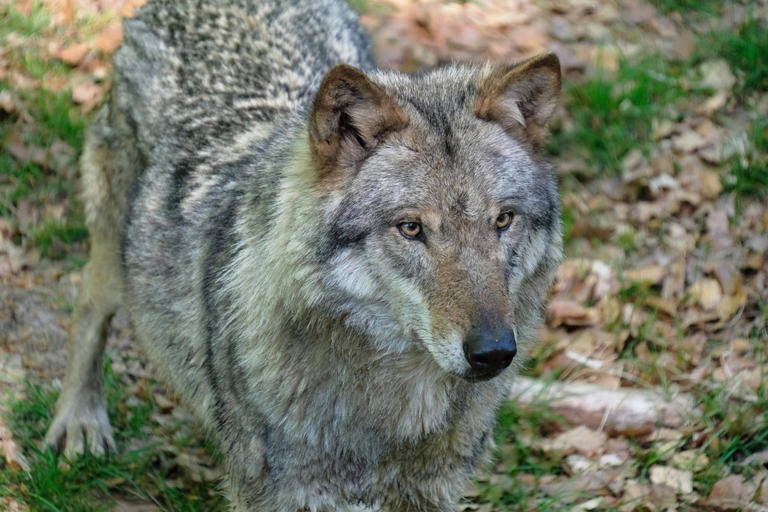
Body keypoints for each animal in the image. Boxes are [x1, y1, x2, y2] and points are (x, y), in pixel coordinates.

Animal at [44, 0, 563, 510]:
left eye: (503, 220)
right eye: (411, 228)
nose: (494, 352)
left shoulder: (432, 493)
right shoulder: (275, 493)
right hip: (113, 256)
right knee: (86, 308)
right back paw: (80, 423)